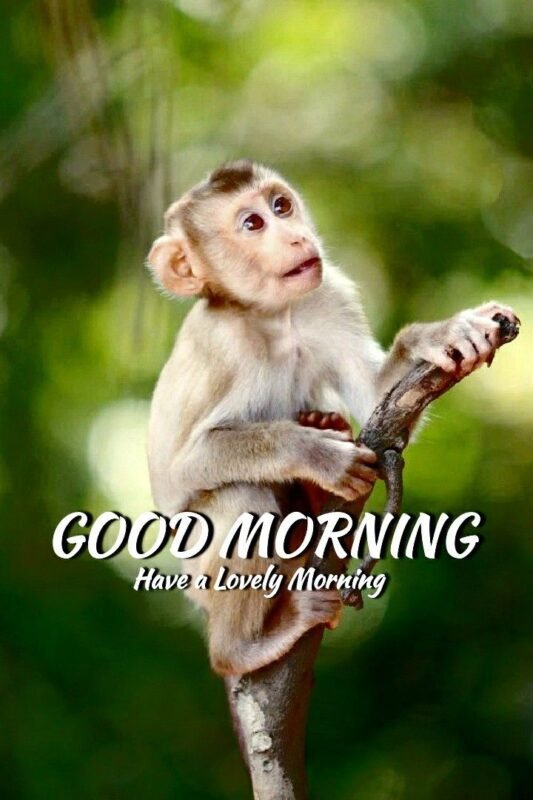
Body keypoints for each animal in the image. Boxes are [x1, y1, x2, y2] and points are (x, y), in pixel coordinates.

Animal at [146, 159, 518, 676]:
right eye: (253, 223)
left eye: (281, 205)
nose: (296, 237)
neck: (274, 318)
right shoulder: (221, 344)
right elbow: (184, 465)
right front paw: (318, 455)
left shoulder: (328, 298)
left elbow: (379, 399)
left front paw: (444, 334)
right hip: (196, 573)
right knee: (241, 501)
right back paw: (241, 648)